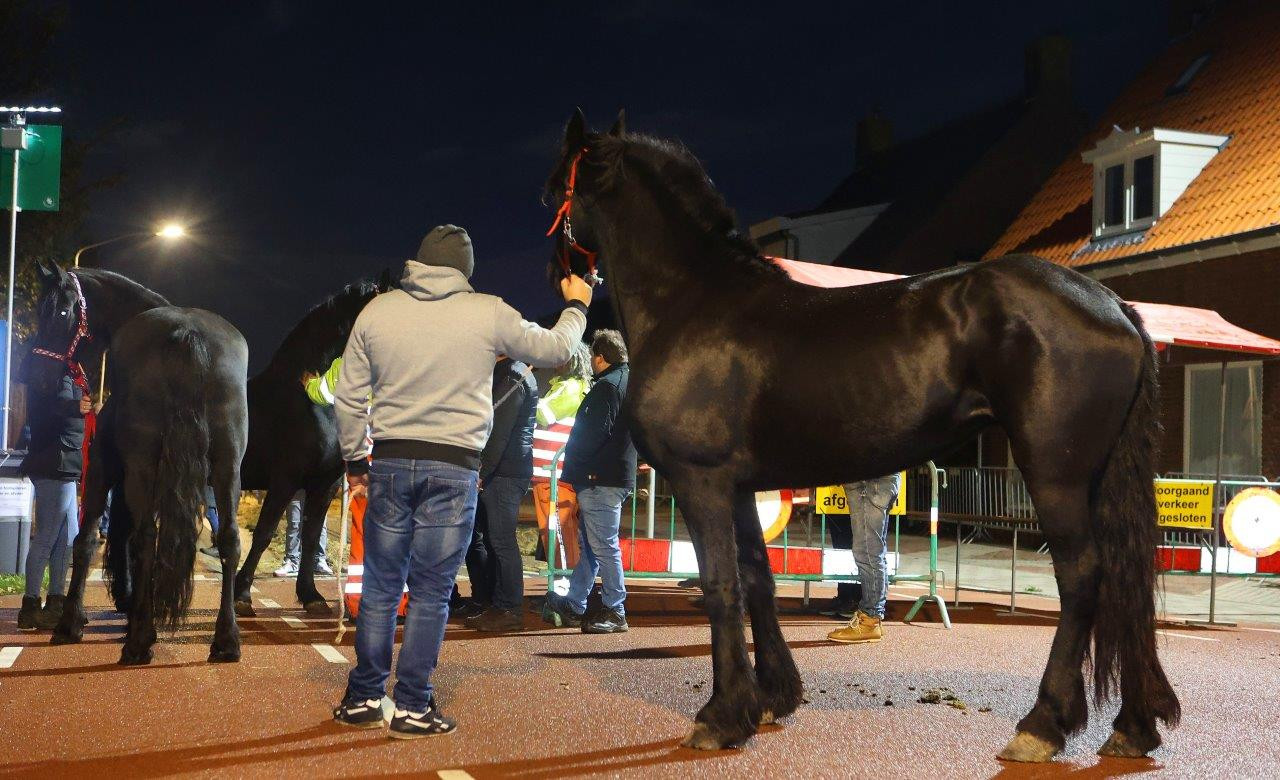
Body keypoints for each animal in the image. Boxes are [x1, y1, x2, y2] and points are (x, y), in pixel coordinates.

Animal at [30, 264, 249, 665]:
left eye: (62, 311)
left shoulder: (104, 470)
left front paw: (70, 623)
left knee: (146, 536)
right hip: (228, 466)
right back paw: (226, 640)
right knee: (228, 539)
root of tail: (187, 333)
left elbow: (85, 540)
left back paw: (139, 641)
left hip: (143, 463)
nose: (37, 377)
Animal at [233, 272, 395, 616]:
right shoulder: (285, 479)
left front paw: (311, 595)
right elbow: (265, 532)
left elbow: (309, 537)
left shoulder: (325, 484)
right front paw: (241, 596)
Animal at [542, 110, 1180, 762]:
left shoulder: (702, 481)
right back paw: (1132, 726)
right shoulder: (741, 488)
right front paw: (773, 697)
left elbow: (722, 587)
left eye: (554, 187)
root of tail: (1113, 304)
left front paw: (722, 716)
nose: (562, 274)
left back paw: (1043, 724)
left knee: (1083, 578)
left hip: (1055, 474)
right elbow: (758, 580)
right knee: (1124, 577)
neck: (693, 305)